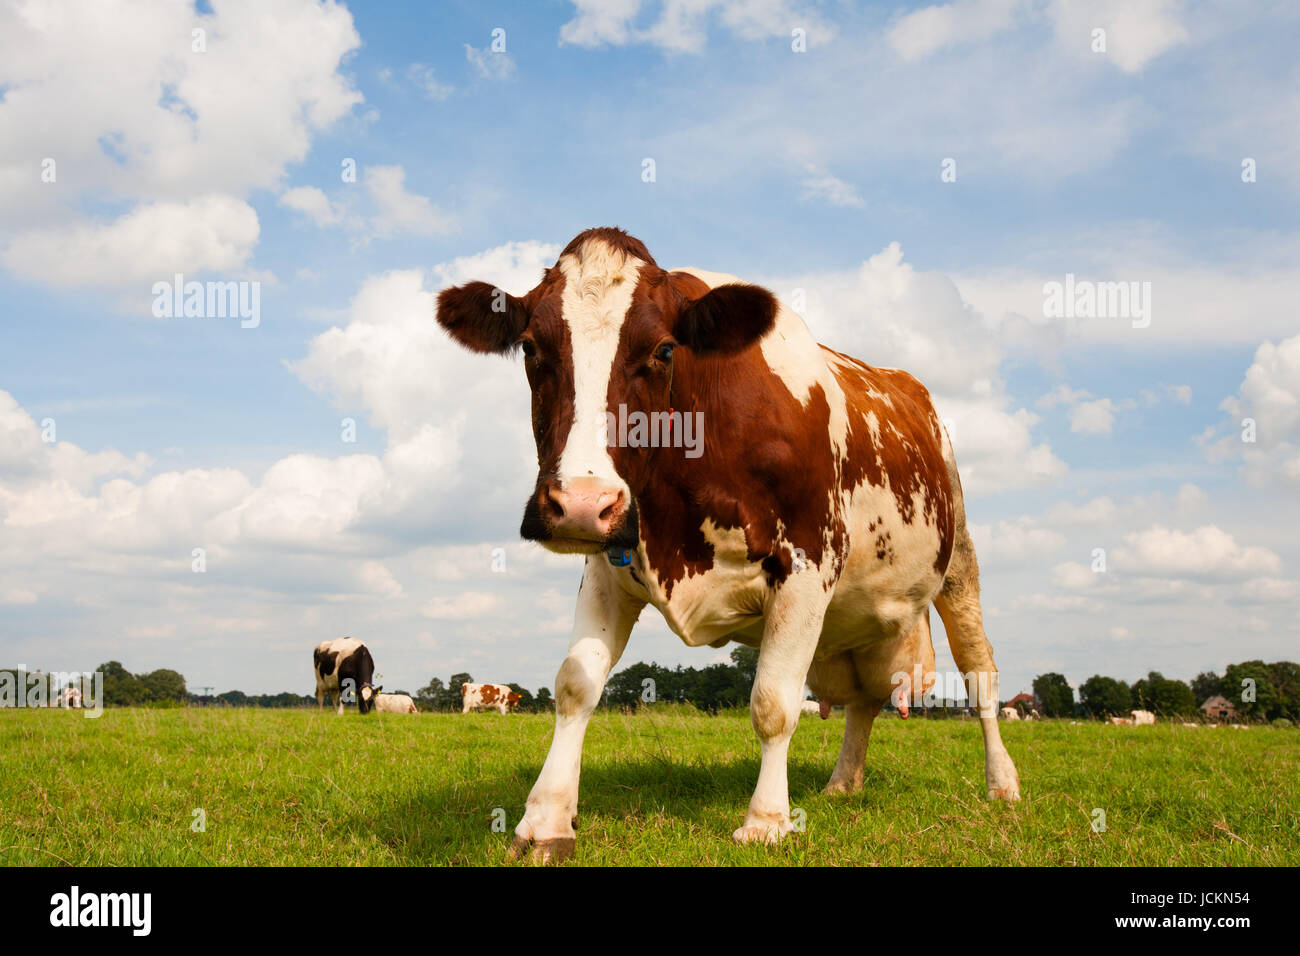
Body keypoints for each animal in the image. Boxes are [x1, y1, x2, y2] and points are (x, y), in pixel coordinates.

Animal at [435, 227, 1020, 863]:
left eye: (665, 350)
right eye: (531, 348)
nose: (584, 504)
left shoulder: (808, 564)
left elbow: (773, 703)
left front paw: (766, 822)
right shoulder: (607, 563)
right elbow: (575, 685)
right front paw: (545, 821)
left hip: (958, 561)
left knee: (980, 676)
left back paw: (1002, 783)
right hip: (851, 621)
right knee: (863, 697)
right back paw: (843, 783)